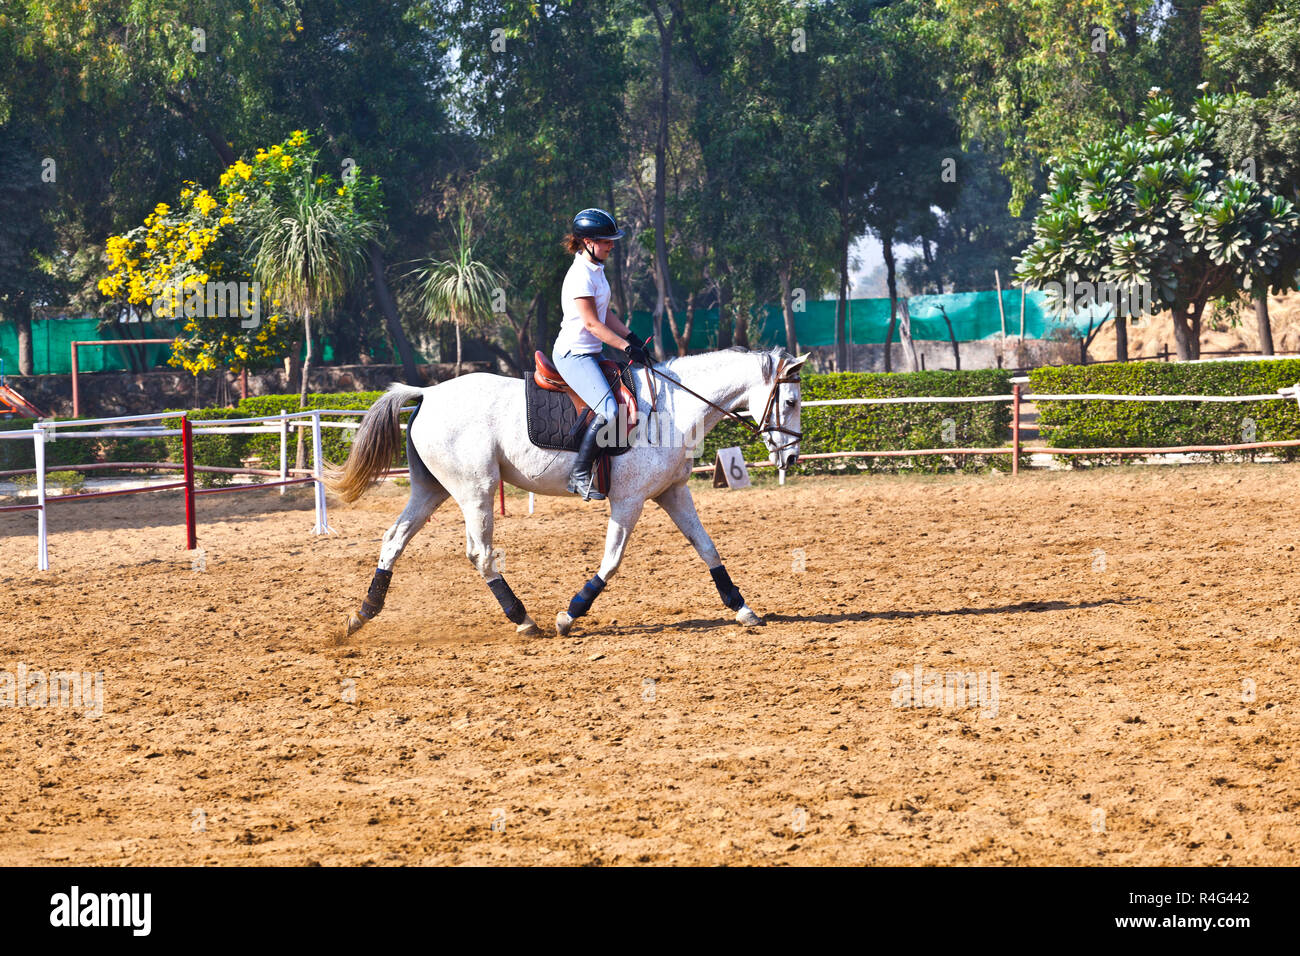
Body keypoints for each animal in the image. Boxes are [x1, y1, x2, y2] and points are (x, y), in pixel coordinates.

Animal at [327, 345, 808, 640]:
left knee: (394, 539)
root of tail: (427, 393)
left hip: (431, 490)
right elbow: (611, 562)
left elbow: (708, 548)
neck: (673, 406)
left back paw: (362, 614)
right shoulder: (629, 501)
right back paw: (523, 619)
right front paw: (570, 614)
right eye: (790, 402)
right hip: (476, 490)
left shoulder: (673, 493)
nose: (791, 456)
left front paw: (742, 608)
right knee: (481, 553)